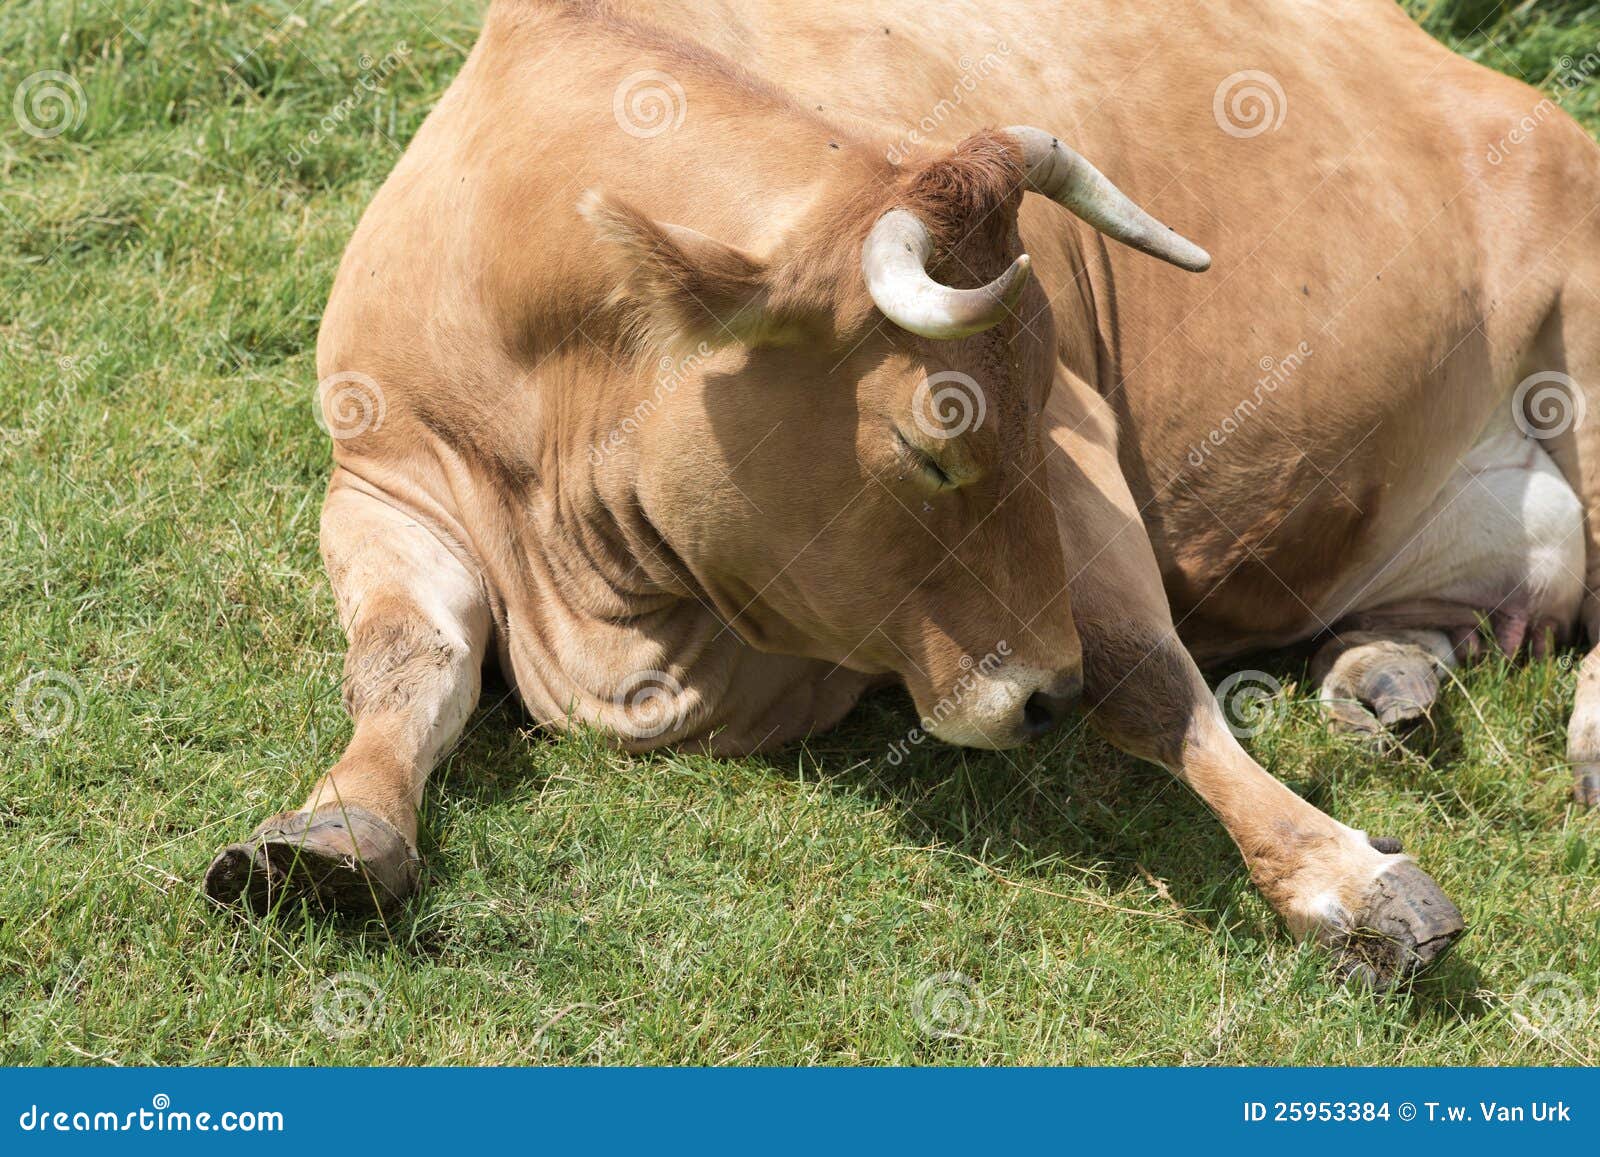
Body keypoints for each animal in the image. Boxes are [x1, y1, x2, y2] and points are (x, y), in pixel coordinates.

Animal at [204, 0, 1600, 989]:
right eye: (937, 448)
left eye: (1036, 406)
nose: (1042, 697)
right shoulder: (381, 481)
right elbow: (406, 661)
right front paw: (332, 831)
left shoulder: (1086, 450)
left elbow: (1149, 681)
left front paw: (1343, 881)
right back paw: (1387, 676)